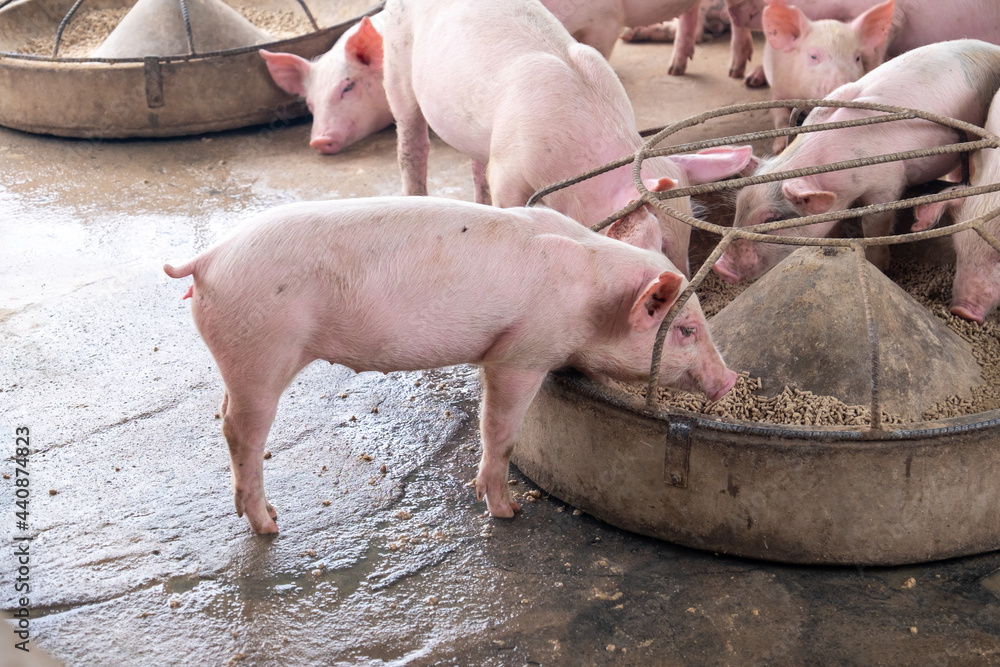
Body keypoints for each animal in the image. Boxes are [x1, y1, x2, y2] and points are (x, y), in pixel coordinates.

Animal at [163, 196, 738, 534]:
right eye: (686, 330)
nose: (730, 379)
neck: (592, 301)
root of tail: (208, 259)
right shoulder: (520, 353)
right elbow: (501, 431)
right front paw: (509, 512)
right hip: (261, 349)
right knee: (239, 429)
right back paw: (269, 525)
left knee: (225, 414)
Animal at [382, 0, 754, 275]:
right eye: (657, 242)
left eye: (687, 238)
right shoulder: (508, 166)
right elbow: (508, 199)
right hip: (396, 60)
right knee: (411, 139)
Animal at [713, 40, 1000, 285]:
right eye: (739, 210)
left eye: (771, 220)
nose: (721, 268)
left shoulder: (888, 183)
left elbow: (874, 225)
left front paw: (879, 266)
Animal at [761, 0, 895, 153]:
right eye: (813, 56)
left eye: (857, 58)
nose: (842, 85)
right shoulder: (778, 88)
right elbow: (780, 115)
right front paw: (780, 148)